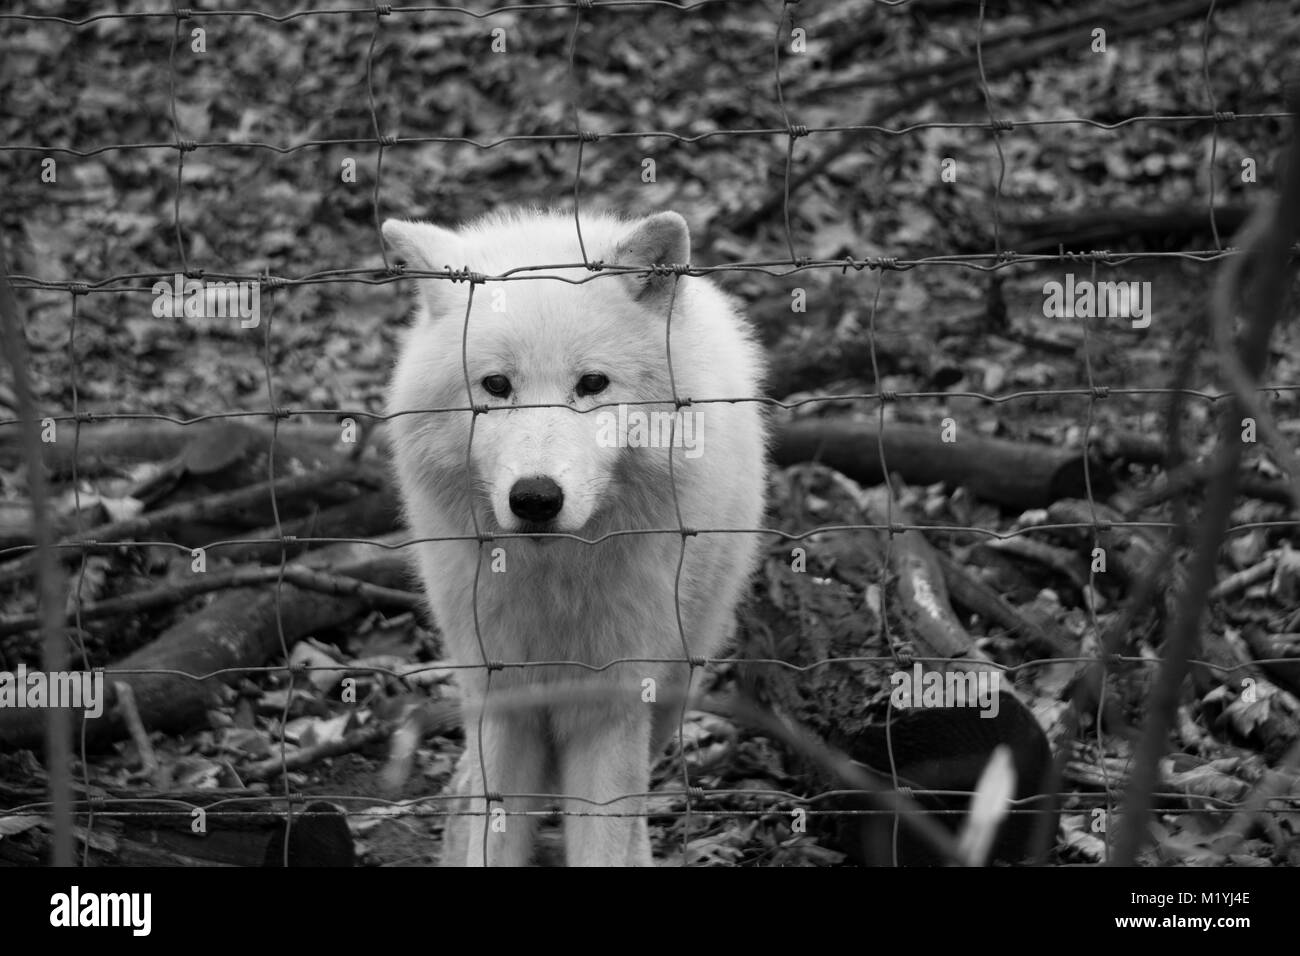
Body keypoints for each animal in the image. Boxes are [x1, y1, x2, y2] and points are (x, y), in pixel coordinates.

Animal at [384, 209, 767, 866]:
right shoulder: (501, 700)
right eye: (496, 386)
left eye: (592, 383)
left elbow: (606, 838)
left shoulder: (611, 708)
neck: (555, 589)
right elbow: (492, 831)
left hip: (676, 679)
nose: (536, 498)